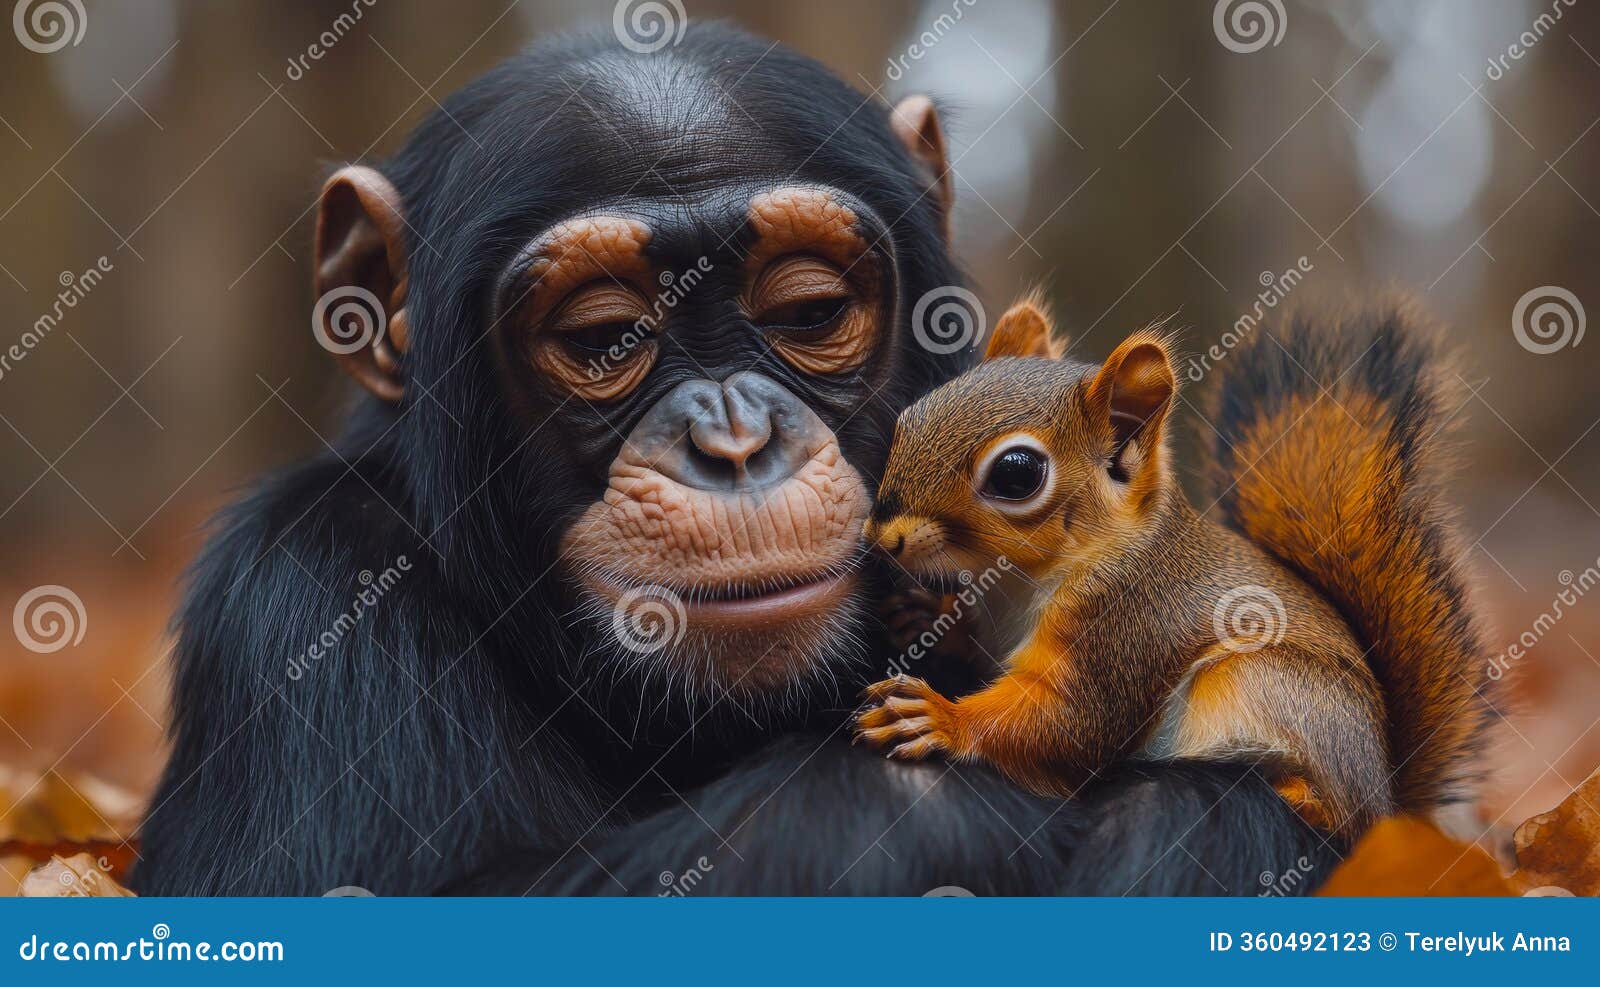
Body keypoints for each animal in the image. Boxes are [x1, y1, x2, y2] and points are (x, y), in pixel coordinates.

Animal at [855, 295, 1494, 837]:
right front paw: (924, 614)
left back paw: (1304, 799)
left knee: (1345, 817)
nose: (883, 535)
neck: (1017, 579)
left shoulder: (1126, 626)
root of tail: (1386, 794)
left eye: (1017, 474)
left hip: (1265, 681)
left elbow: (1070, 722)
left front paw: (940, 719)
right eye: (910, 416)